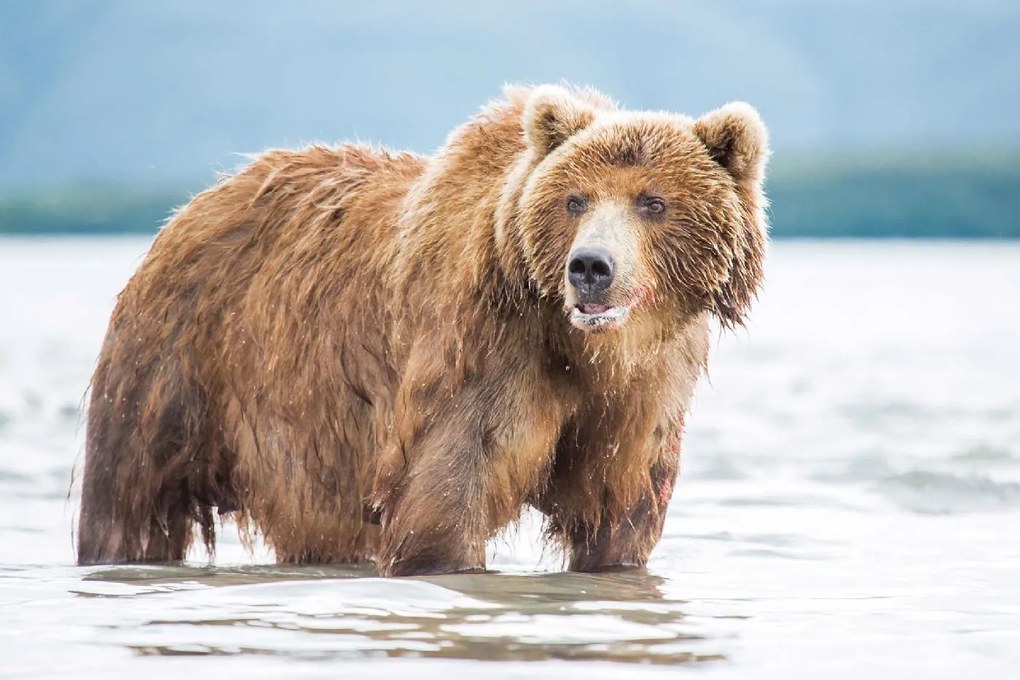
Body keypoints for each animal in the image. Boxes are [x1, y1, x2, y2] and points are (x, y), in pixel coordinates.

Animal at [77, 83, 767, 574]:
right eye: (575, 199)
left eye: (653, 202)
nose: (591, 267)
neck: (585, 348)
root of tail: (196, 203)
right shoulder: (480, 350)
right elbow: (444, 498)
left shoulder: (644, 391)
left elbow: (619, 515)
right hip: (177, 365)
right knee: (130, 499)